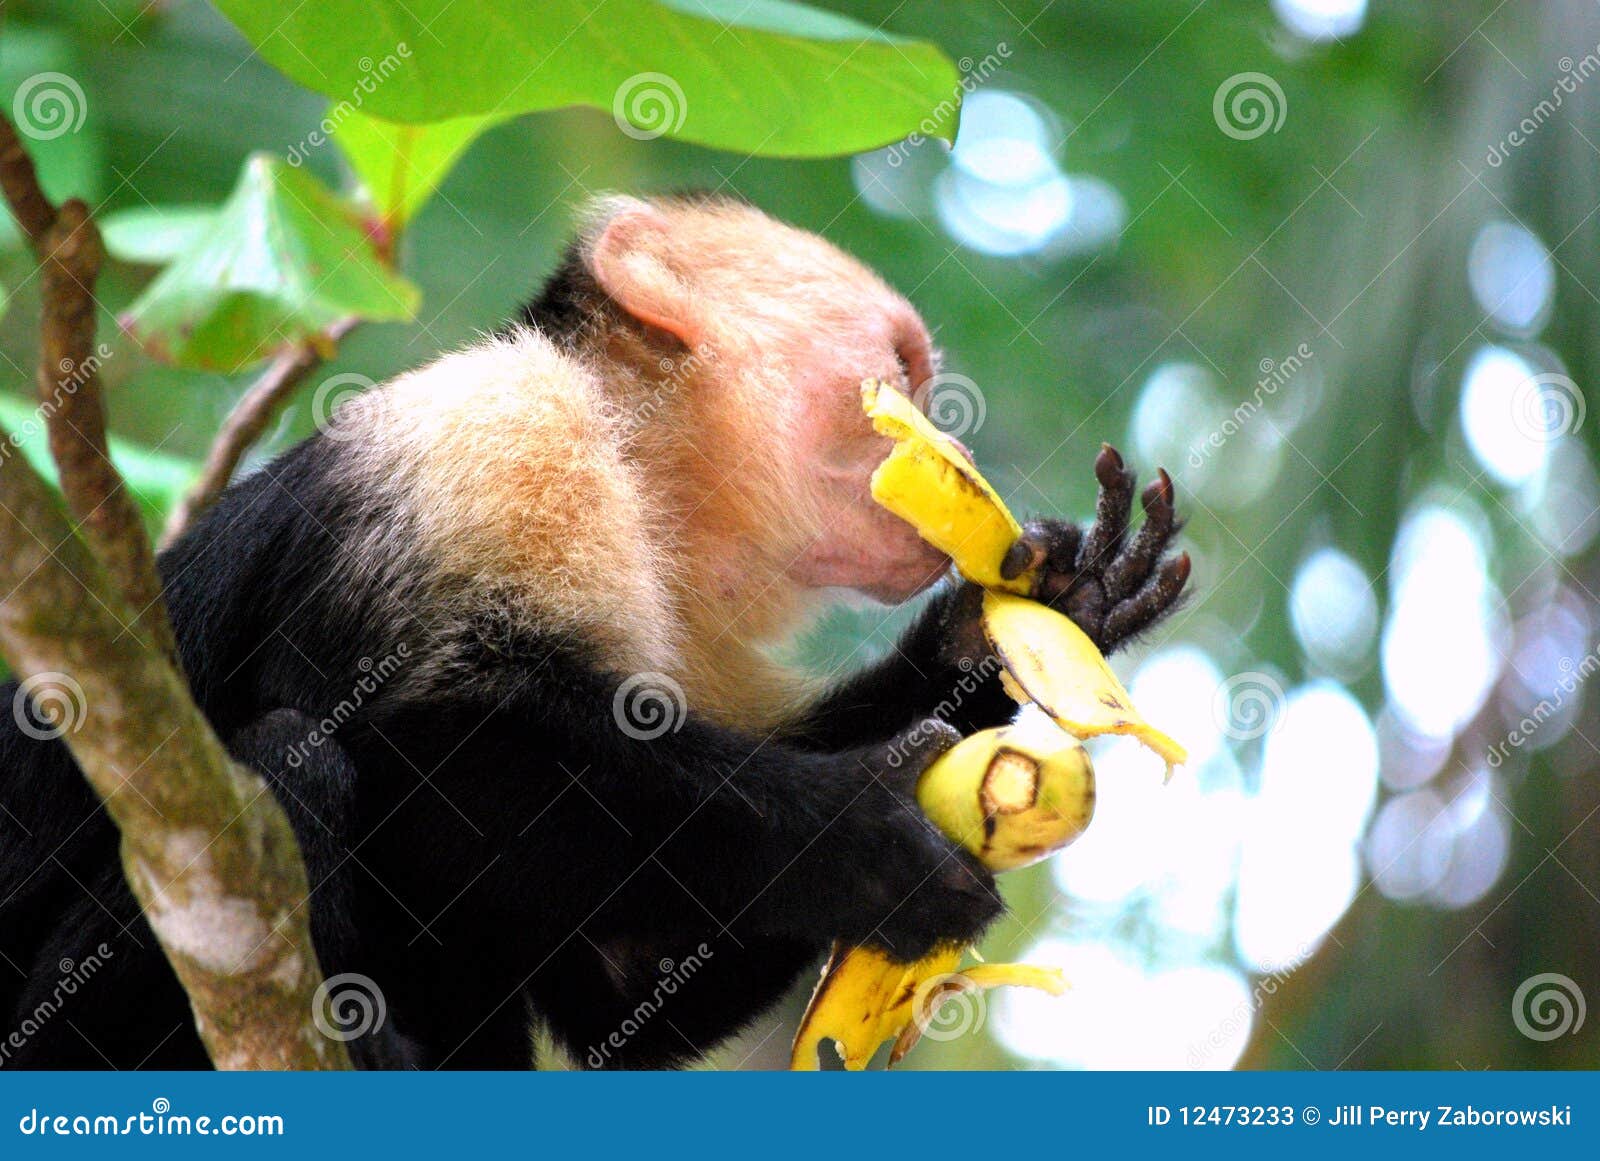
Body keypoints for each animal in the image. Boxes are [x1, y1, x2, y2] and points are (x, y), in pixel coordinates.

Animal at [0, 193, 1188, 1069]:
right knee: (290, 761)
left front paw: (1037, 619)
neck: (641, 471)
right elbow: (410, 736)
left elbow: (618, 977)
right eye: (899, 367)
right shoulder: (500, 432)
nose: (951, 440)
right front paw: (861, 828)